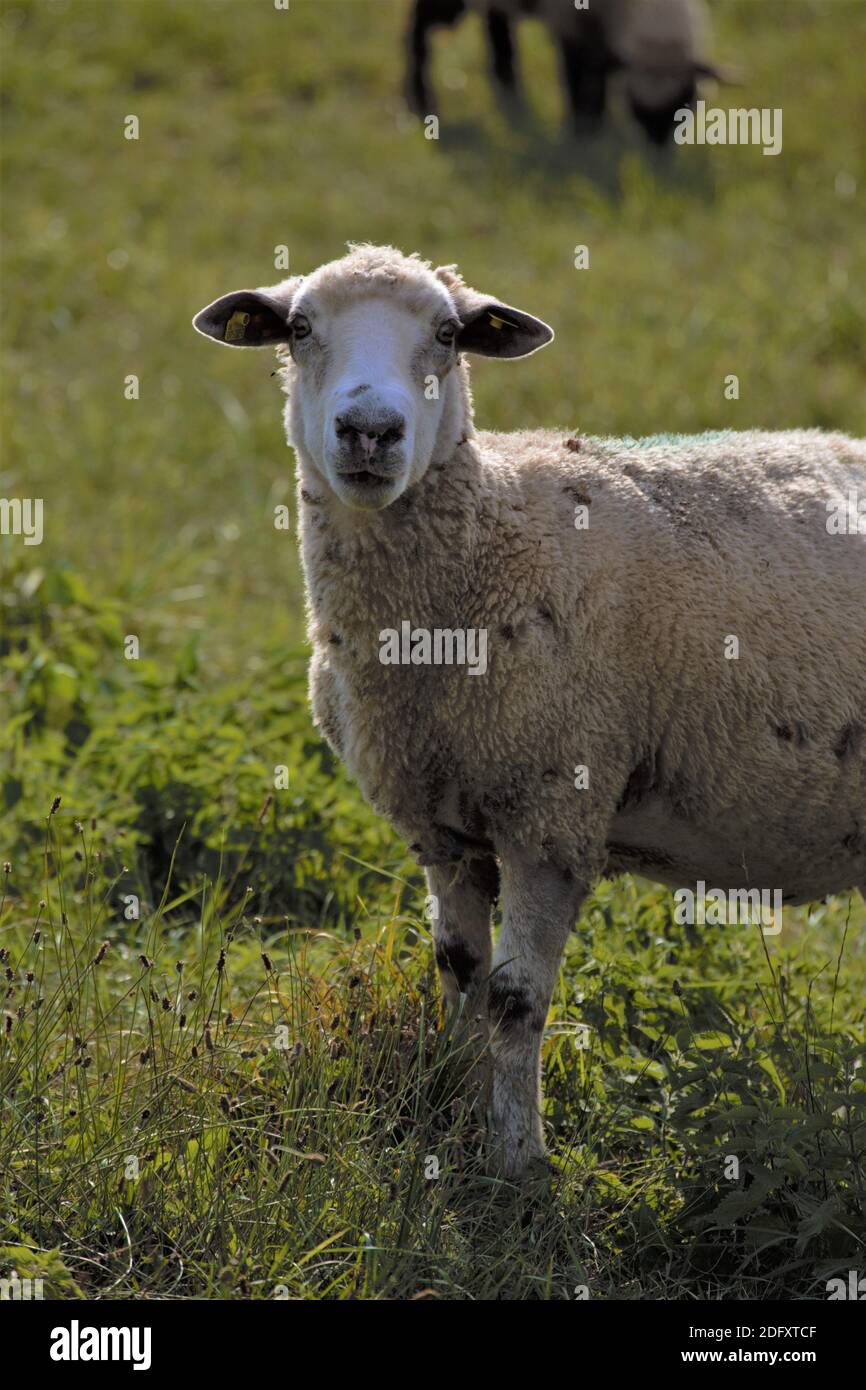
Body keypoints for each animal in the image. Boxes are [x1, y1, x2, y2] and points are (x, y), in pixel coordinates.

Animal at [193, 244, 866, 1178]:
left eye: (448, 335)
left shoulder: (552, 813)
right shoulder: (444, 827)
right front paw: (445, 1107)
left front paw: (518, 1163)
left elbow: (513, 998)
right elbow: (457, 968)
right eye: (298, 328)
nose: (370, 430)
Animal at [405, 0, 728, 144]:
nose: (658, 157)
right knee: (420, 26)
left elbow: (599, 82)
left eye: (685, 103)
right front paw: (583, 136)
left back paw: (511, 94)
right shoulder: (572, 27)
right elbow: (578, 83)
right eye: (637, 111)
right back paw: (419, 99)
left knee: (498, 27)